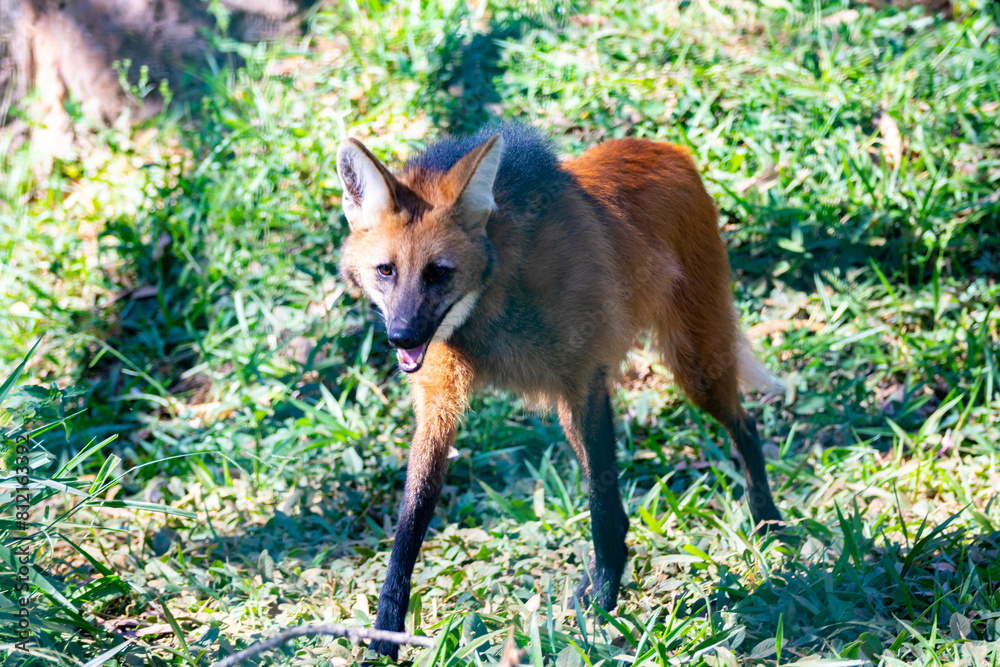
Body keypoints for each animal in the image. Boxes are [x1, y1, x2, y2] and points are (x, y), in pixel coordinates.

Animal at [335, 124, 781, 658]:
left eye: (438, 272)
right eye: (386, 271)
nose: (401, 337)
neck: (487, 307)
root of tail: (663, 148)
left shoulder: (584, 378)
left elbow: (602, 508)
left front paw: (605, 608)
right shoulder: (440, 398)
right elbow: (412, 520)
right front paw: (386, 629)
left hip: (693, 364)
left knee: (744, 421)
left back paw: (769, 520)